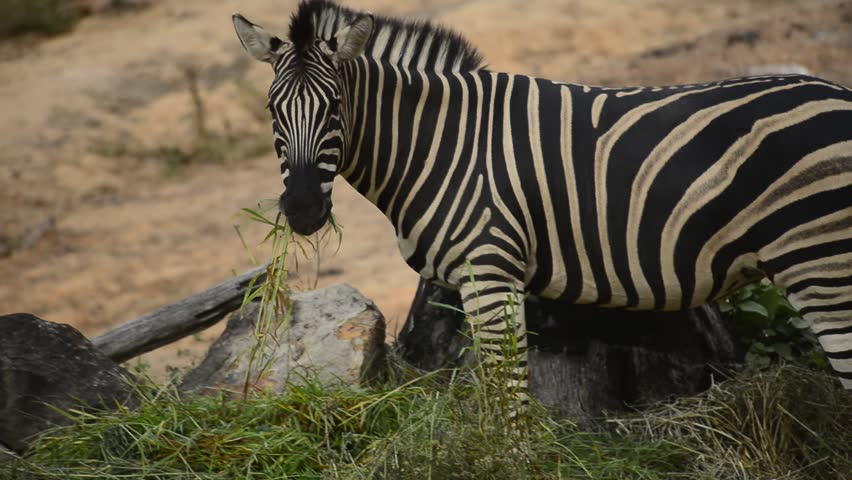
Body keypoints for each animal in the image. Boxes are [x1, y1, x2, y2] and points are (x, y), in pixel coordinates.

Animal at [232, 0, 852, 404]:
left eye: (336, 107)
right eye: (271, 112)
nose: (303, 209)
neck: (443, 144)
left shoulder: (490, 271)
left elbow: (508, 400)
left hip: (821, 266)